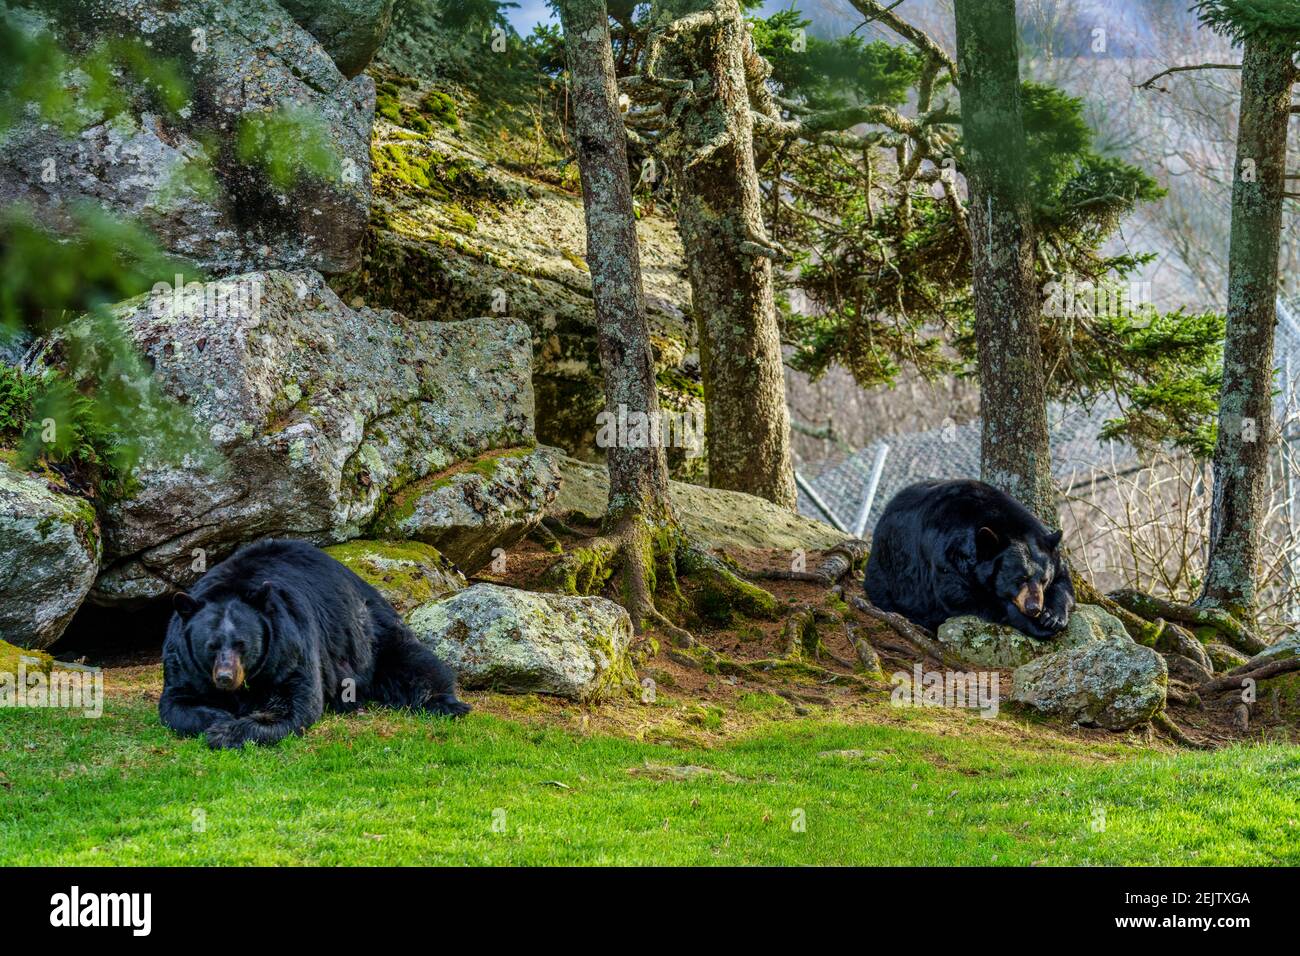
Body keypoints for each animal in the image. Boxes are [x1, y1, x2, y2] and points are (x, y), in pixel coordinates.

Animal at [159, 538, 470, 749]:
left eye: (241, 644)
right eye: (210, 645)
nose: (225, 677)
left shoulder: (289, 646)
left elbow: (296, 704)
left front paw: (229, 731)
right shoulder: (182, 662)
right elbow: (176, 703)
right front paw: (220, 719)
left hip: (372, 635)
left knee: (413, 664)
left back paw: (447, 703)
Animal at [864, 479, 1074, 638]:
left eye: (1044, 580)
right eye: (1019, 579)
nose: (1034, 608)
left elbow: (1064, 582)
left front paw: (1053, 616)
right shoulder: (946, 559)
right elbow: (962, 596)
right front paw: (1035, 625)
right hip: (887, 574)